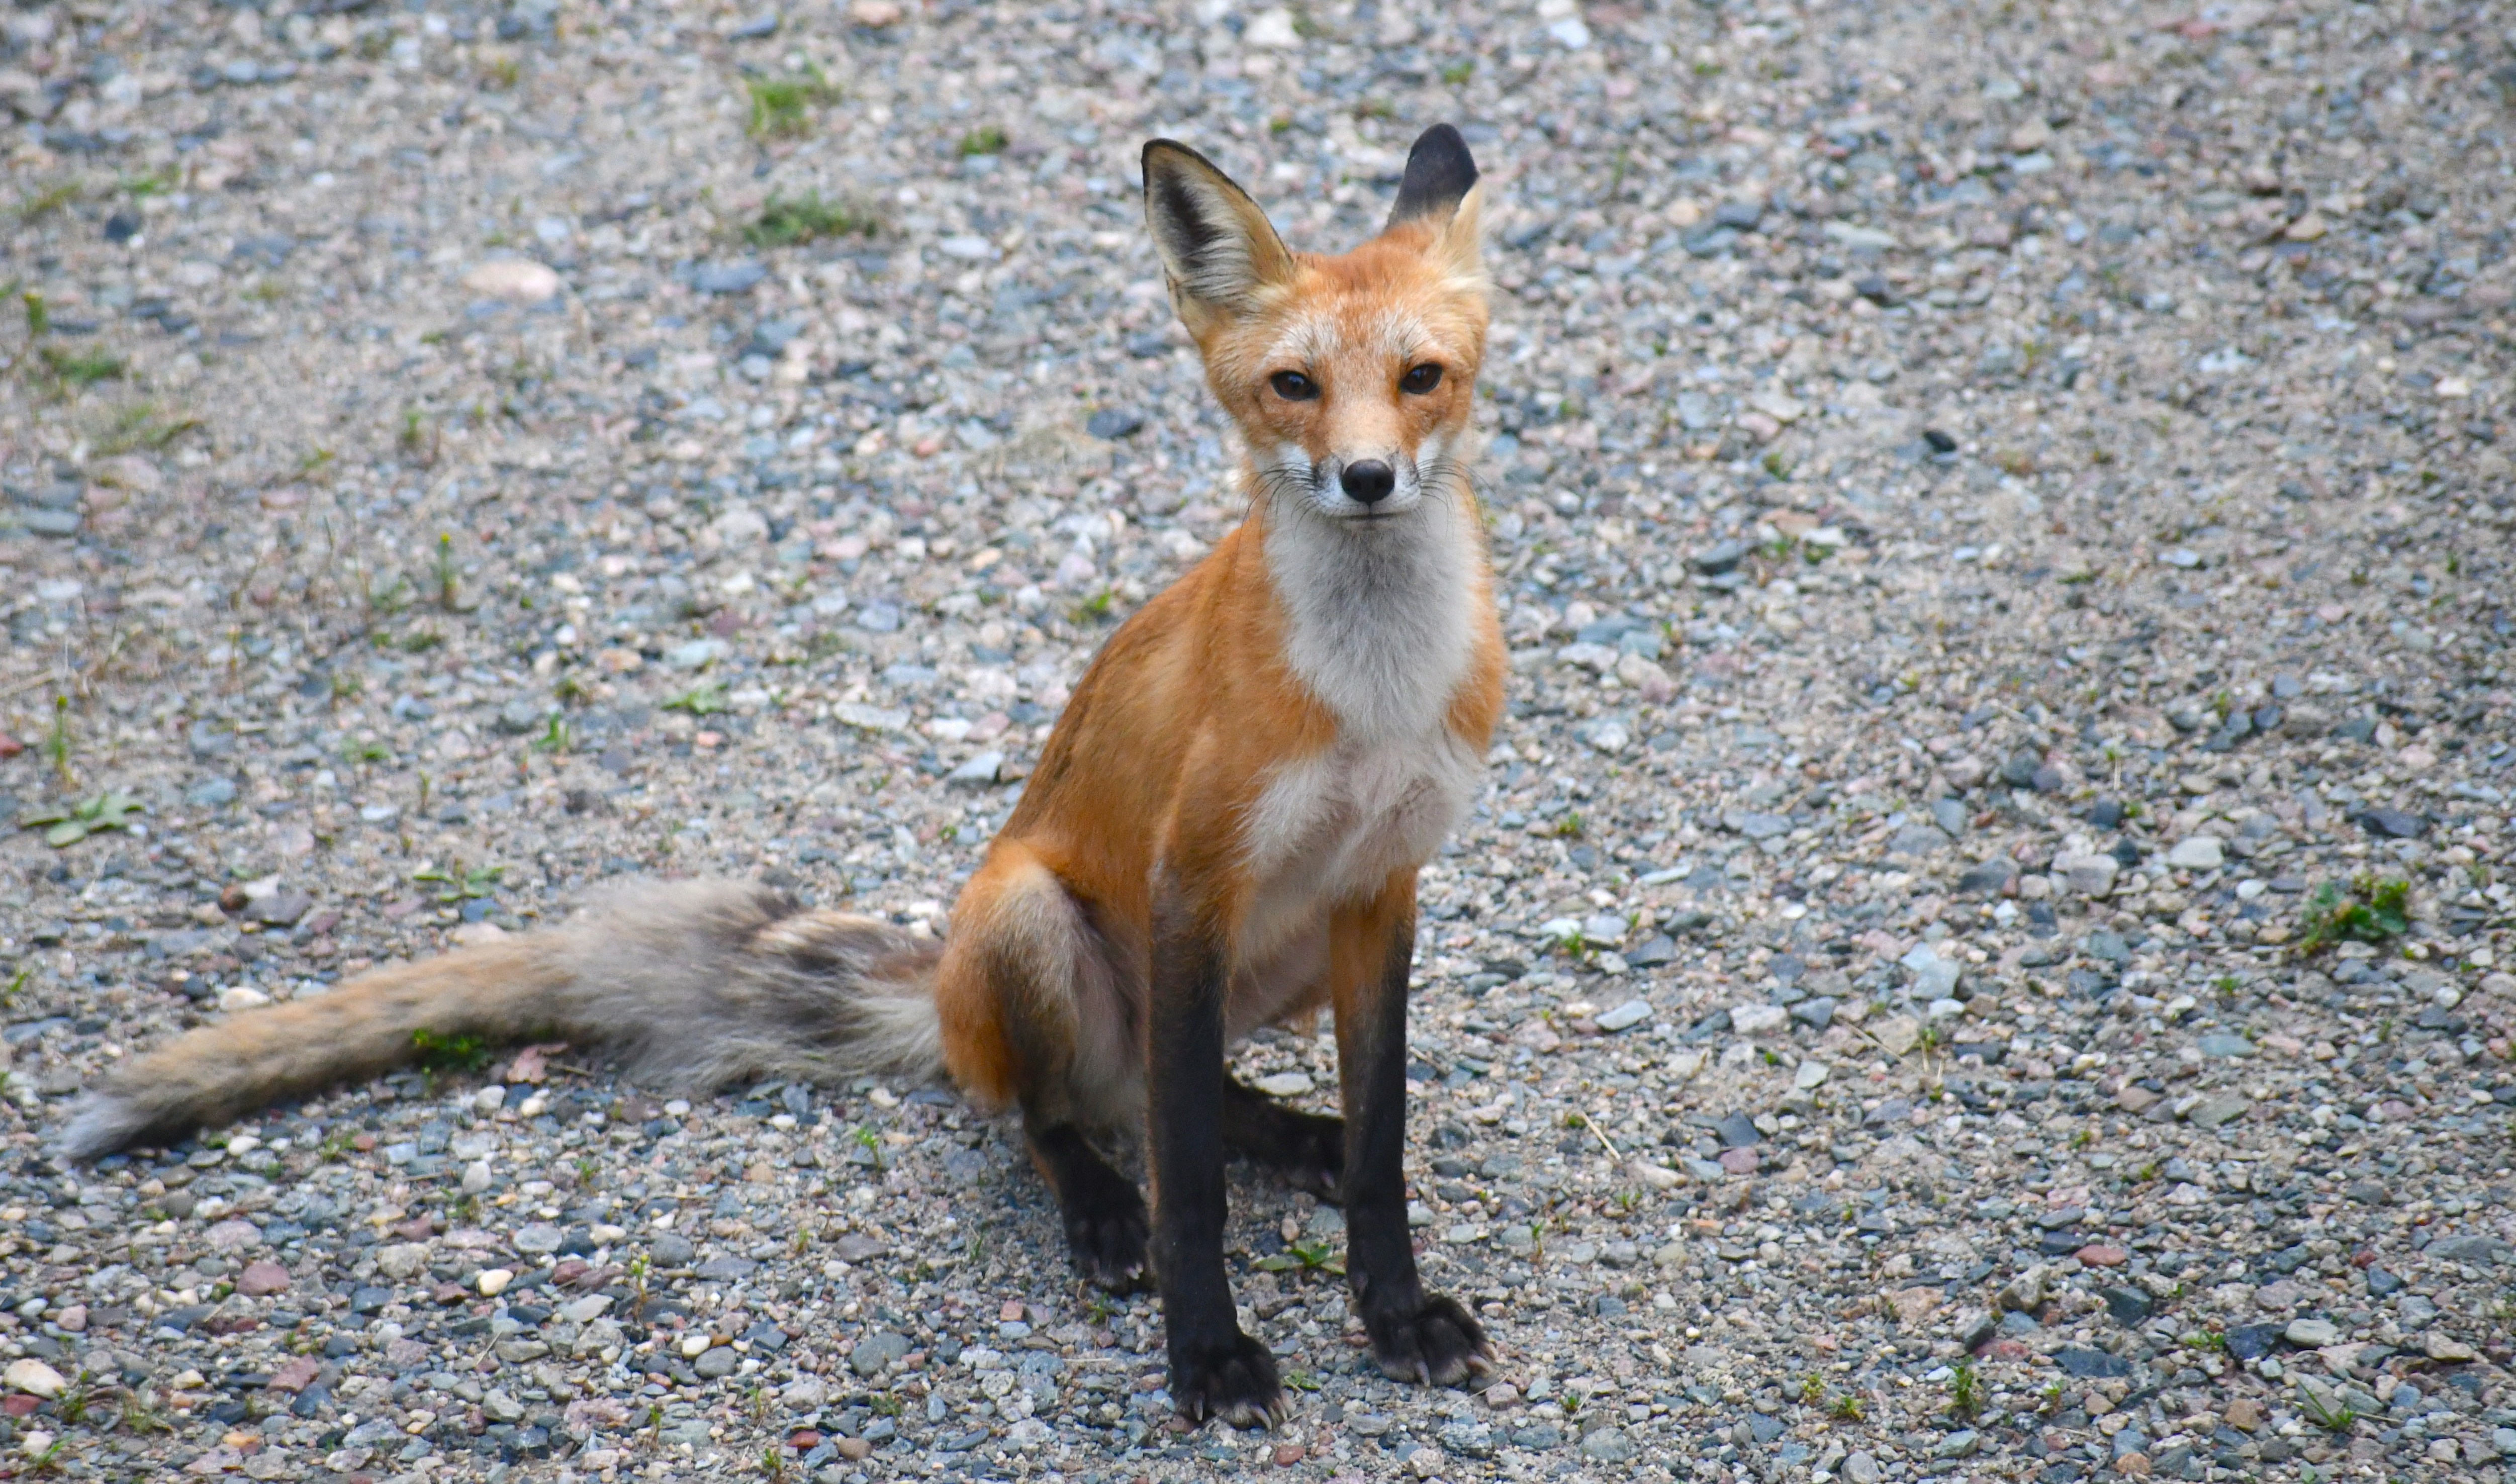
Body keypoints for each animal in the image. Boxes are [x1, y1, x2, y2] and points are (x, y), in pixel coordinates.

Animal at [57, 124, 1502, 1428]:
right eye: (1293, 386)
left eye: (1420, 377)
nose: (1366, 478)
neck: (1369, 701)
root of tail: (944, 990)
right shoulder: (1192, 883)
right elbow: (1191, 1186)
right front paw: (1206, 1354)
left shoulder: (1381, 888)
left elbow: (1378, 1142)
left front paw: (1394, 1311)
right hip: (1032, 925)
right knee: (1067, 1113)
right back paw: (1098, 1208)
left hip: (1271, 972)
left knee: (1172, 1095)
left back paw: (1287, 1137)